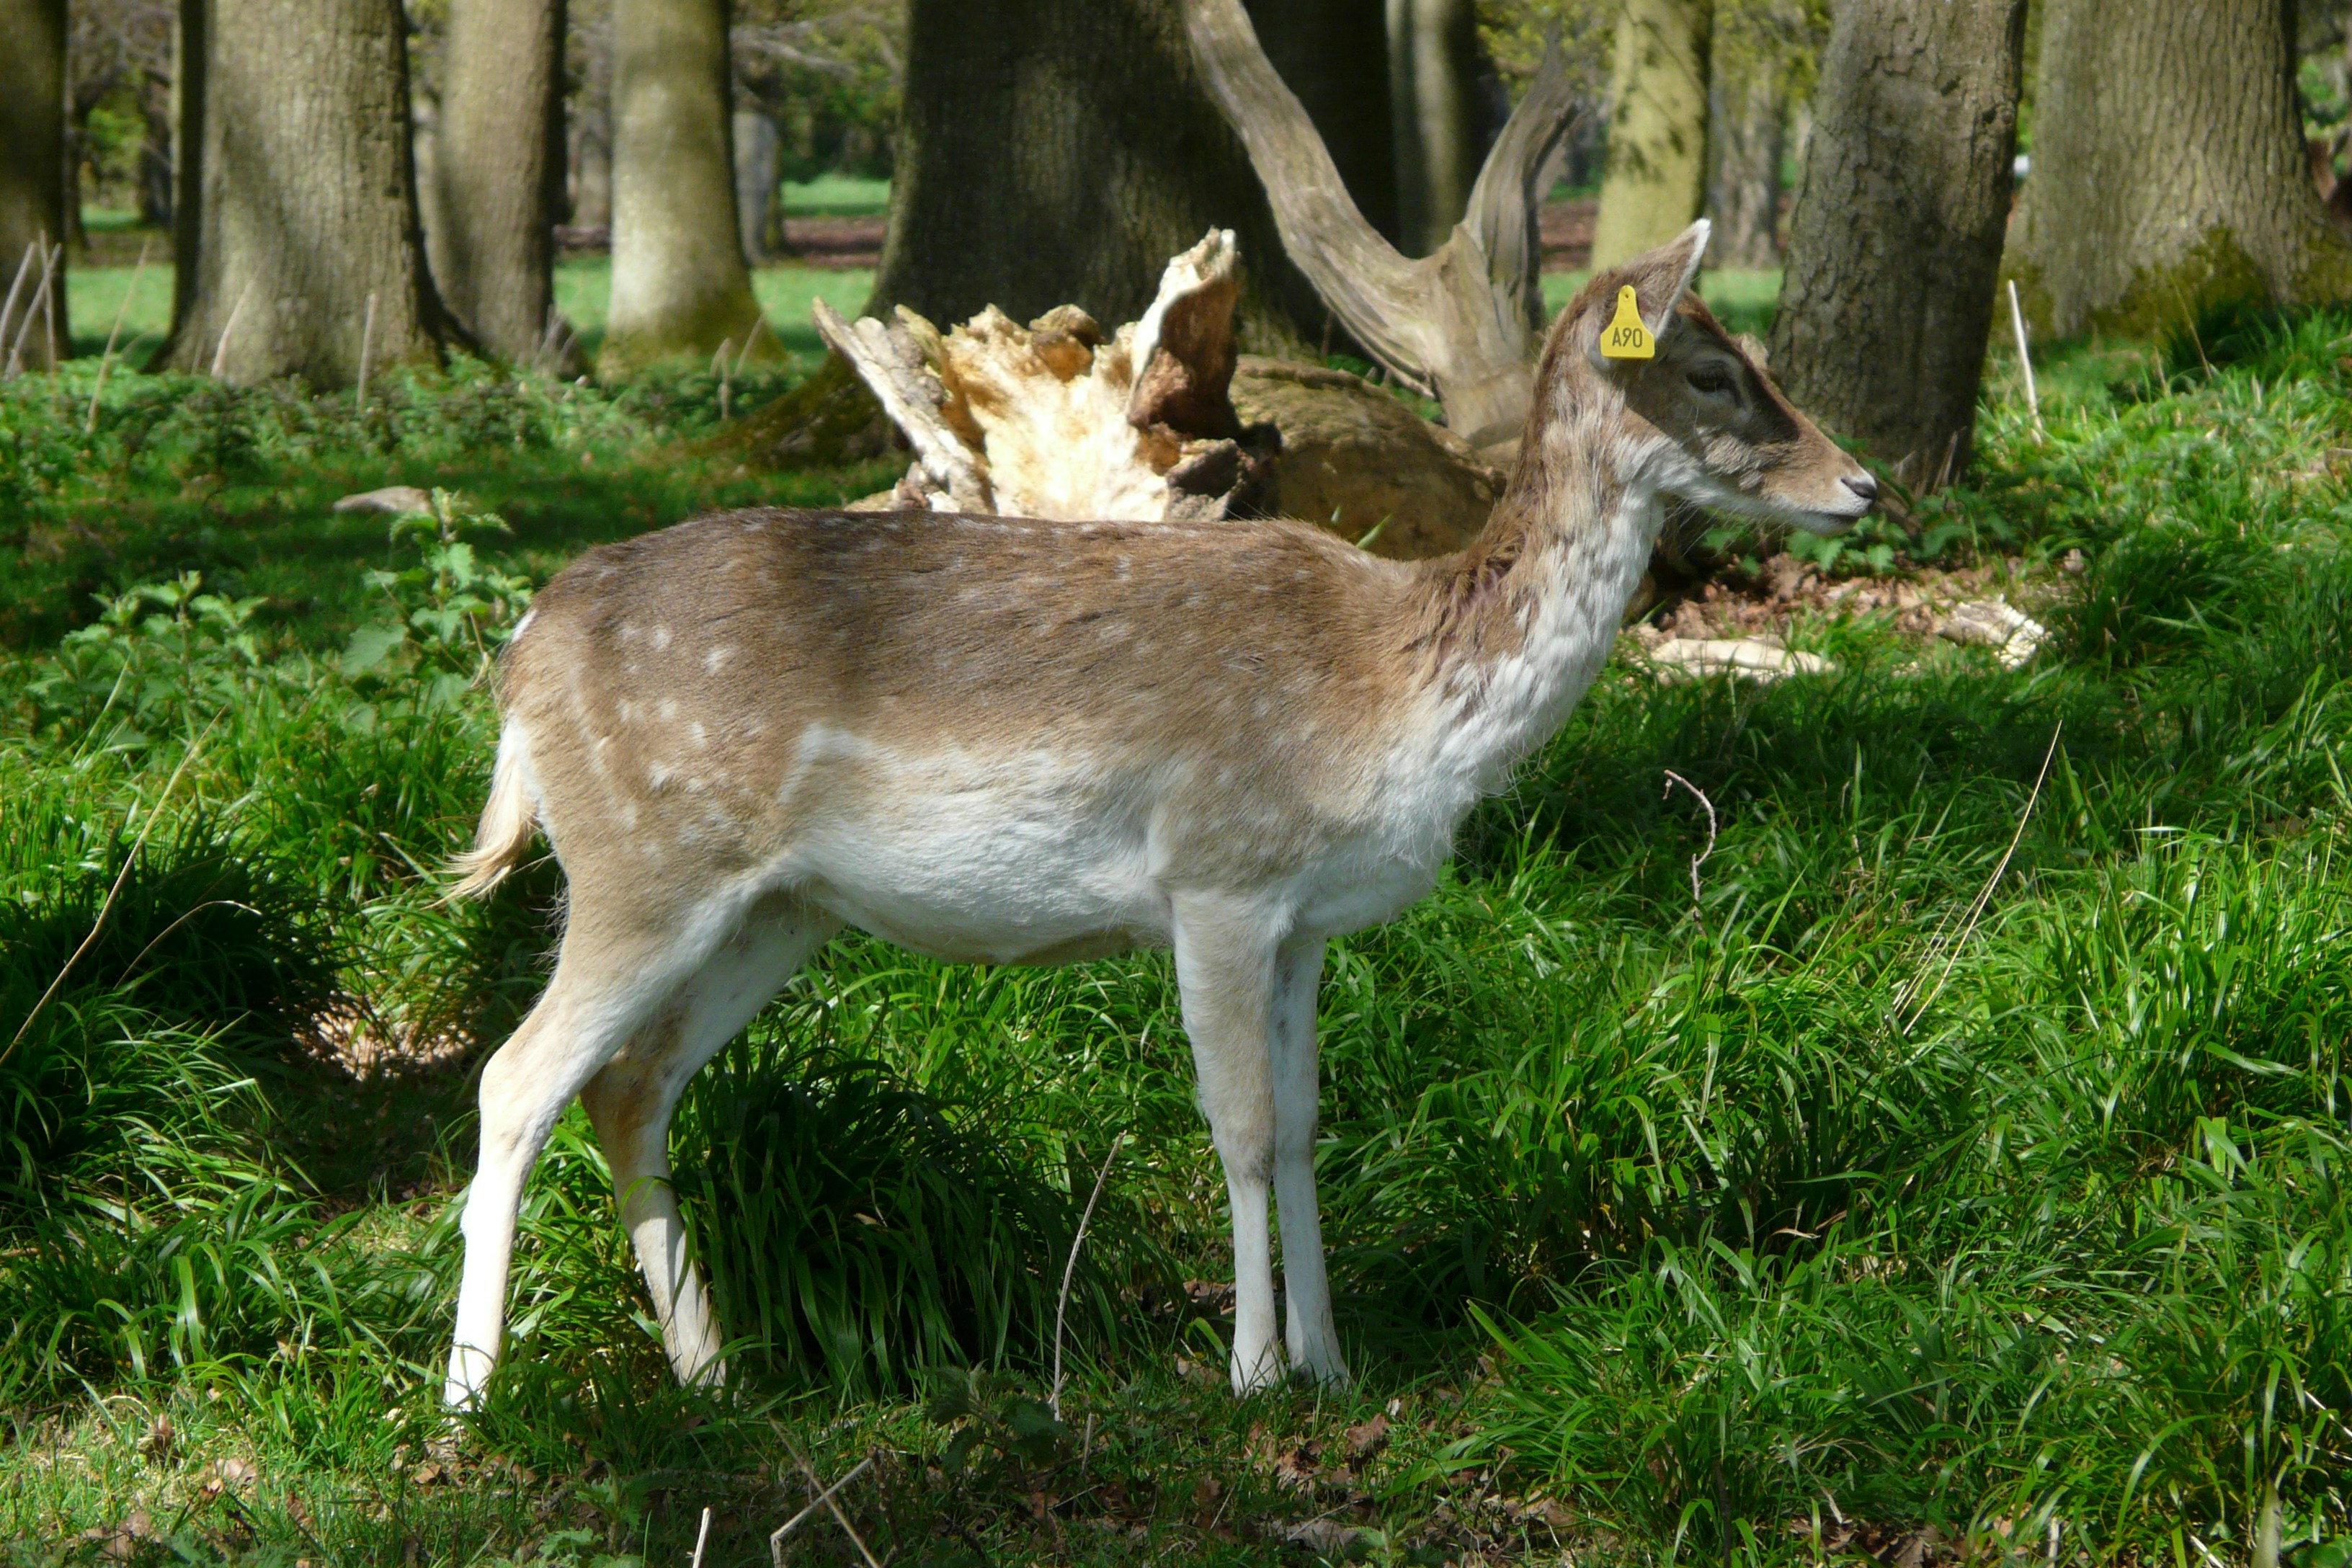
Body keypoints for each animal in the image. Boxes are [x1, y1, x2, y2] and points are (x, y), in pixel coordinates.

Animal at [438, 221, 1877, 1409]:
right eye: (1712, 372)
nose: (1861, 484)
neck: (1396, 693)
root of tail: (517, 657)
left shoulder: (1305, 921)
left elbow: (1300, 1126)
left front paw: (1332, 1365)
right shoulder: (1218, 872)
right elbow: (1235, 1126)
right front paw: (1249, 1375)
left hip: (773, 911)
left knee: (627, 1088)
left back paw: (713, 1375)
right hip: (642, 864)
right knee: (514, 1077)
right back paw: (473, 1398)